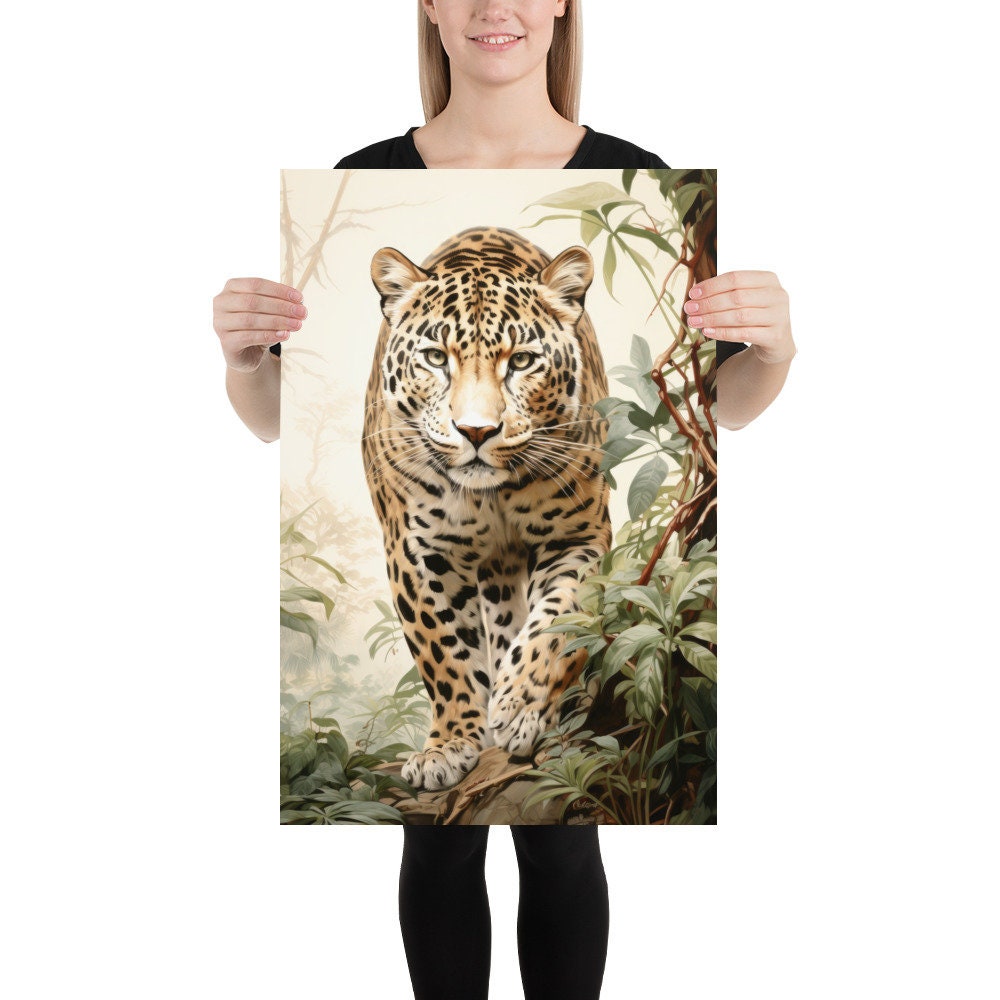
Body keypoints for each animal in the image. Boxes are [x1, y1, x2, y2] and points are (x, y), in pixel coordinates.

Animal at [363, 226, 611, 792]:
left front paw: (520, 706)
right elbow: (442, 650)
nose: (476, 431)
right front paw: (448, 745)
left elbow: (556, 619)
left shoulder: (577, 536)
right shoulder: (416, 551)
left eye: (520, 361)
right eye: (436, 358)